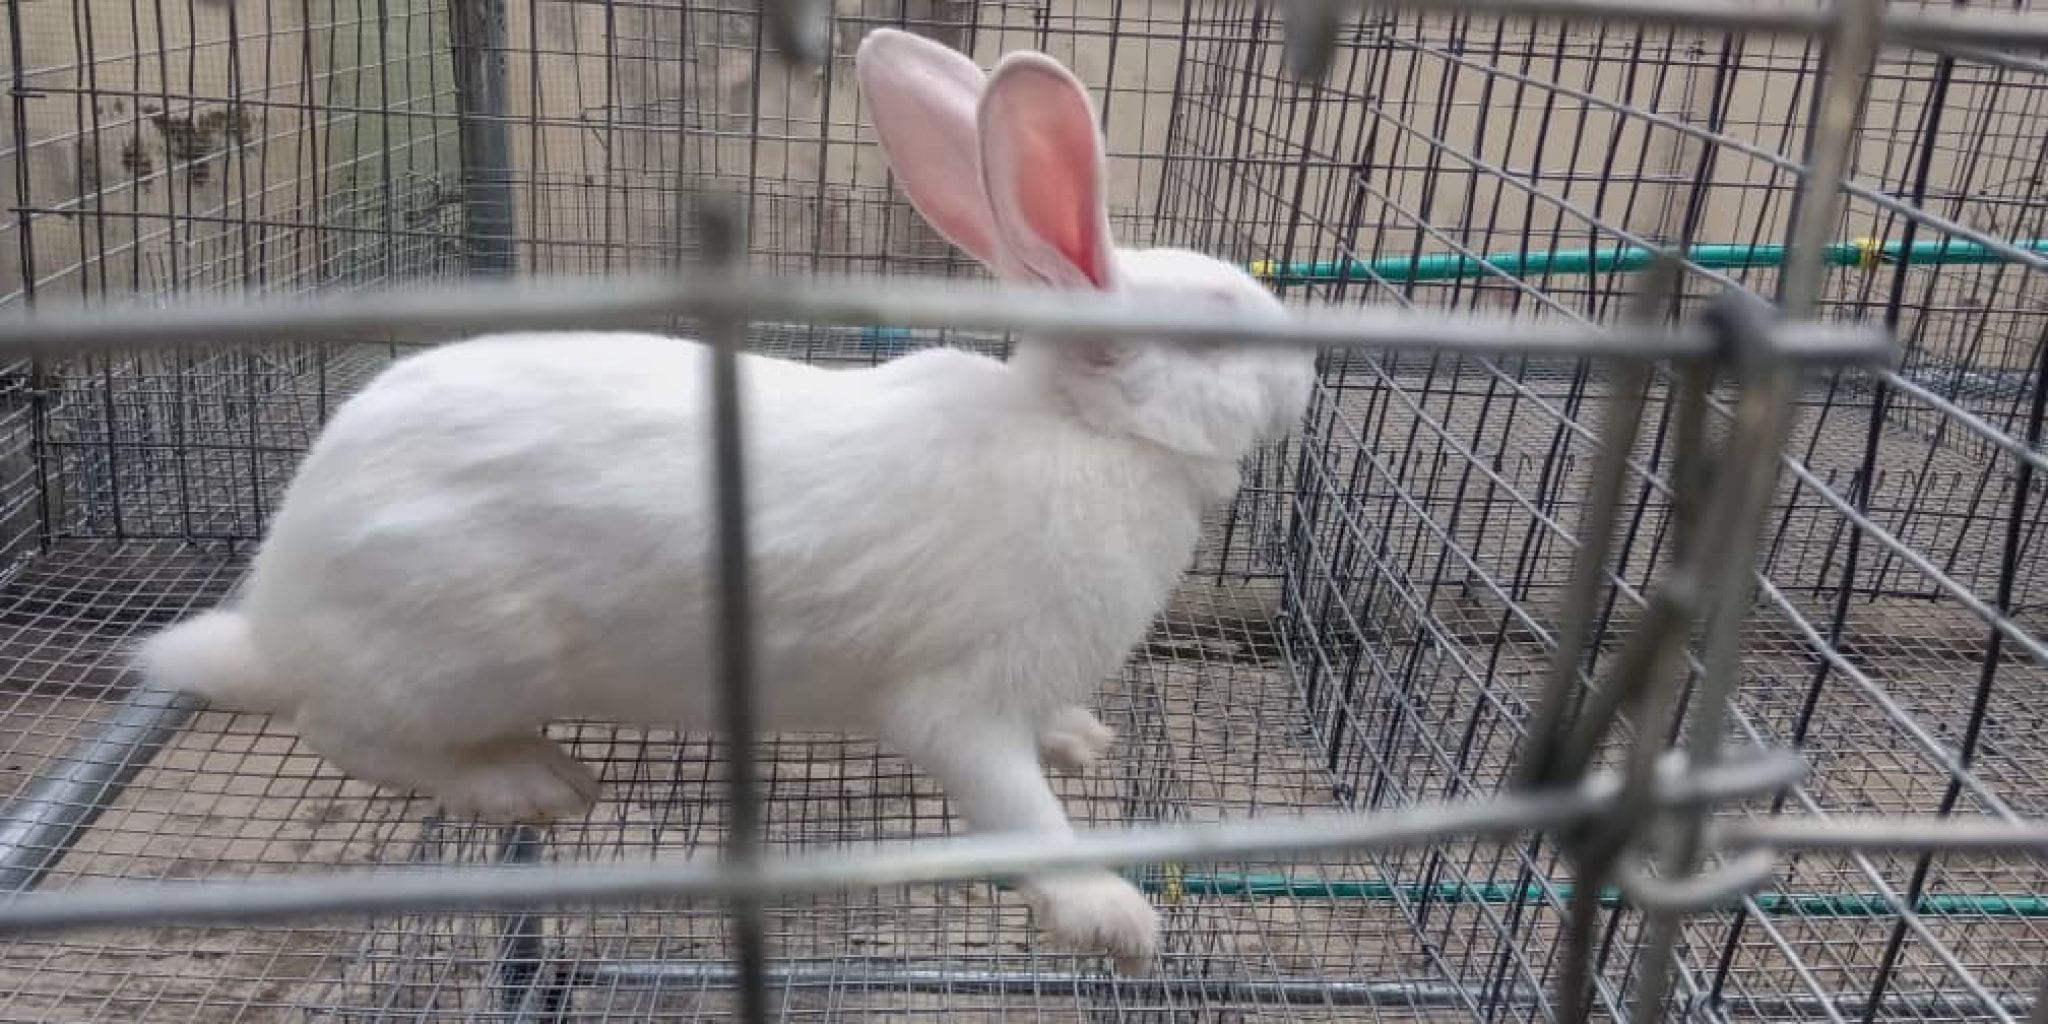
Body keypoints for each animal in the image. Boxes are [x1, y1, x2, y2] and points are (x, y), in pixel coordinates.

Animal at [130, 27, 1318, 974]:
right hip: (448, 654)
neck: (1089, 432)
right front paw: (1114, 919)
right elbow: (1022, 813)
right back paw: (527, 782)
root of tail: (276, 617)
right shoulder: (956, 705)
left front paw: (1082, 738)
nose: (1307, 365)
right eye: (1219, 329)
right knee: (342, 729)